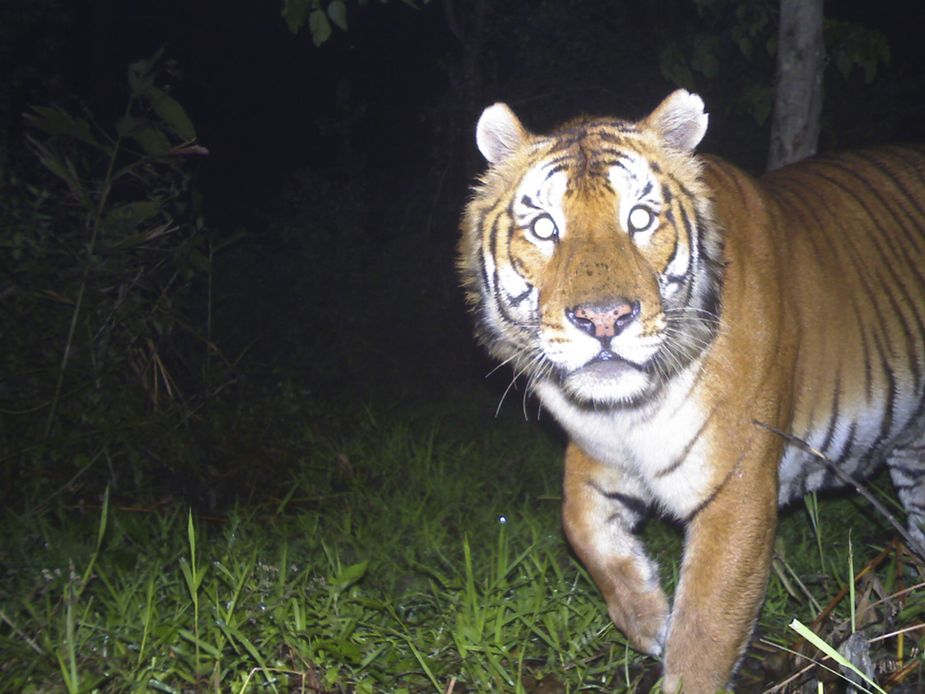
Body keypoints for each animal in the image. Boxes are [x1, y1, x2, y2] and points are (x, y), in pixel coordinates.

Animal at [458, 89, 925, 692]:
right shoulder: (595, 454)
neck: (626, 413)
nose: (604, 319)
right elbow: (578, 524)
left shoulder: (736, 488)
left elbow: (706, 627)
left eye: (639, 218)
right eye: (543, 227)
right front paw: (648, 616)